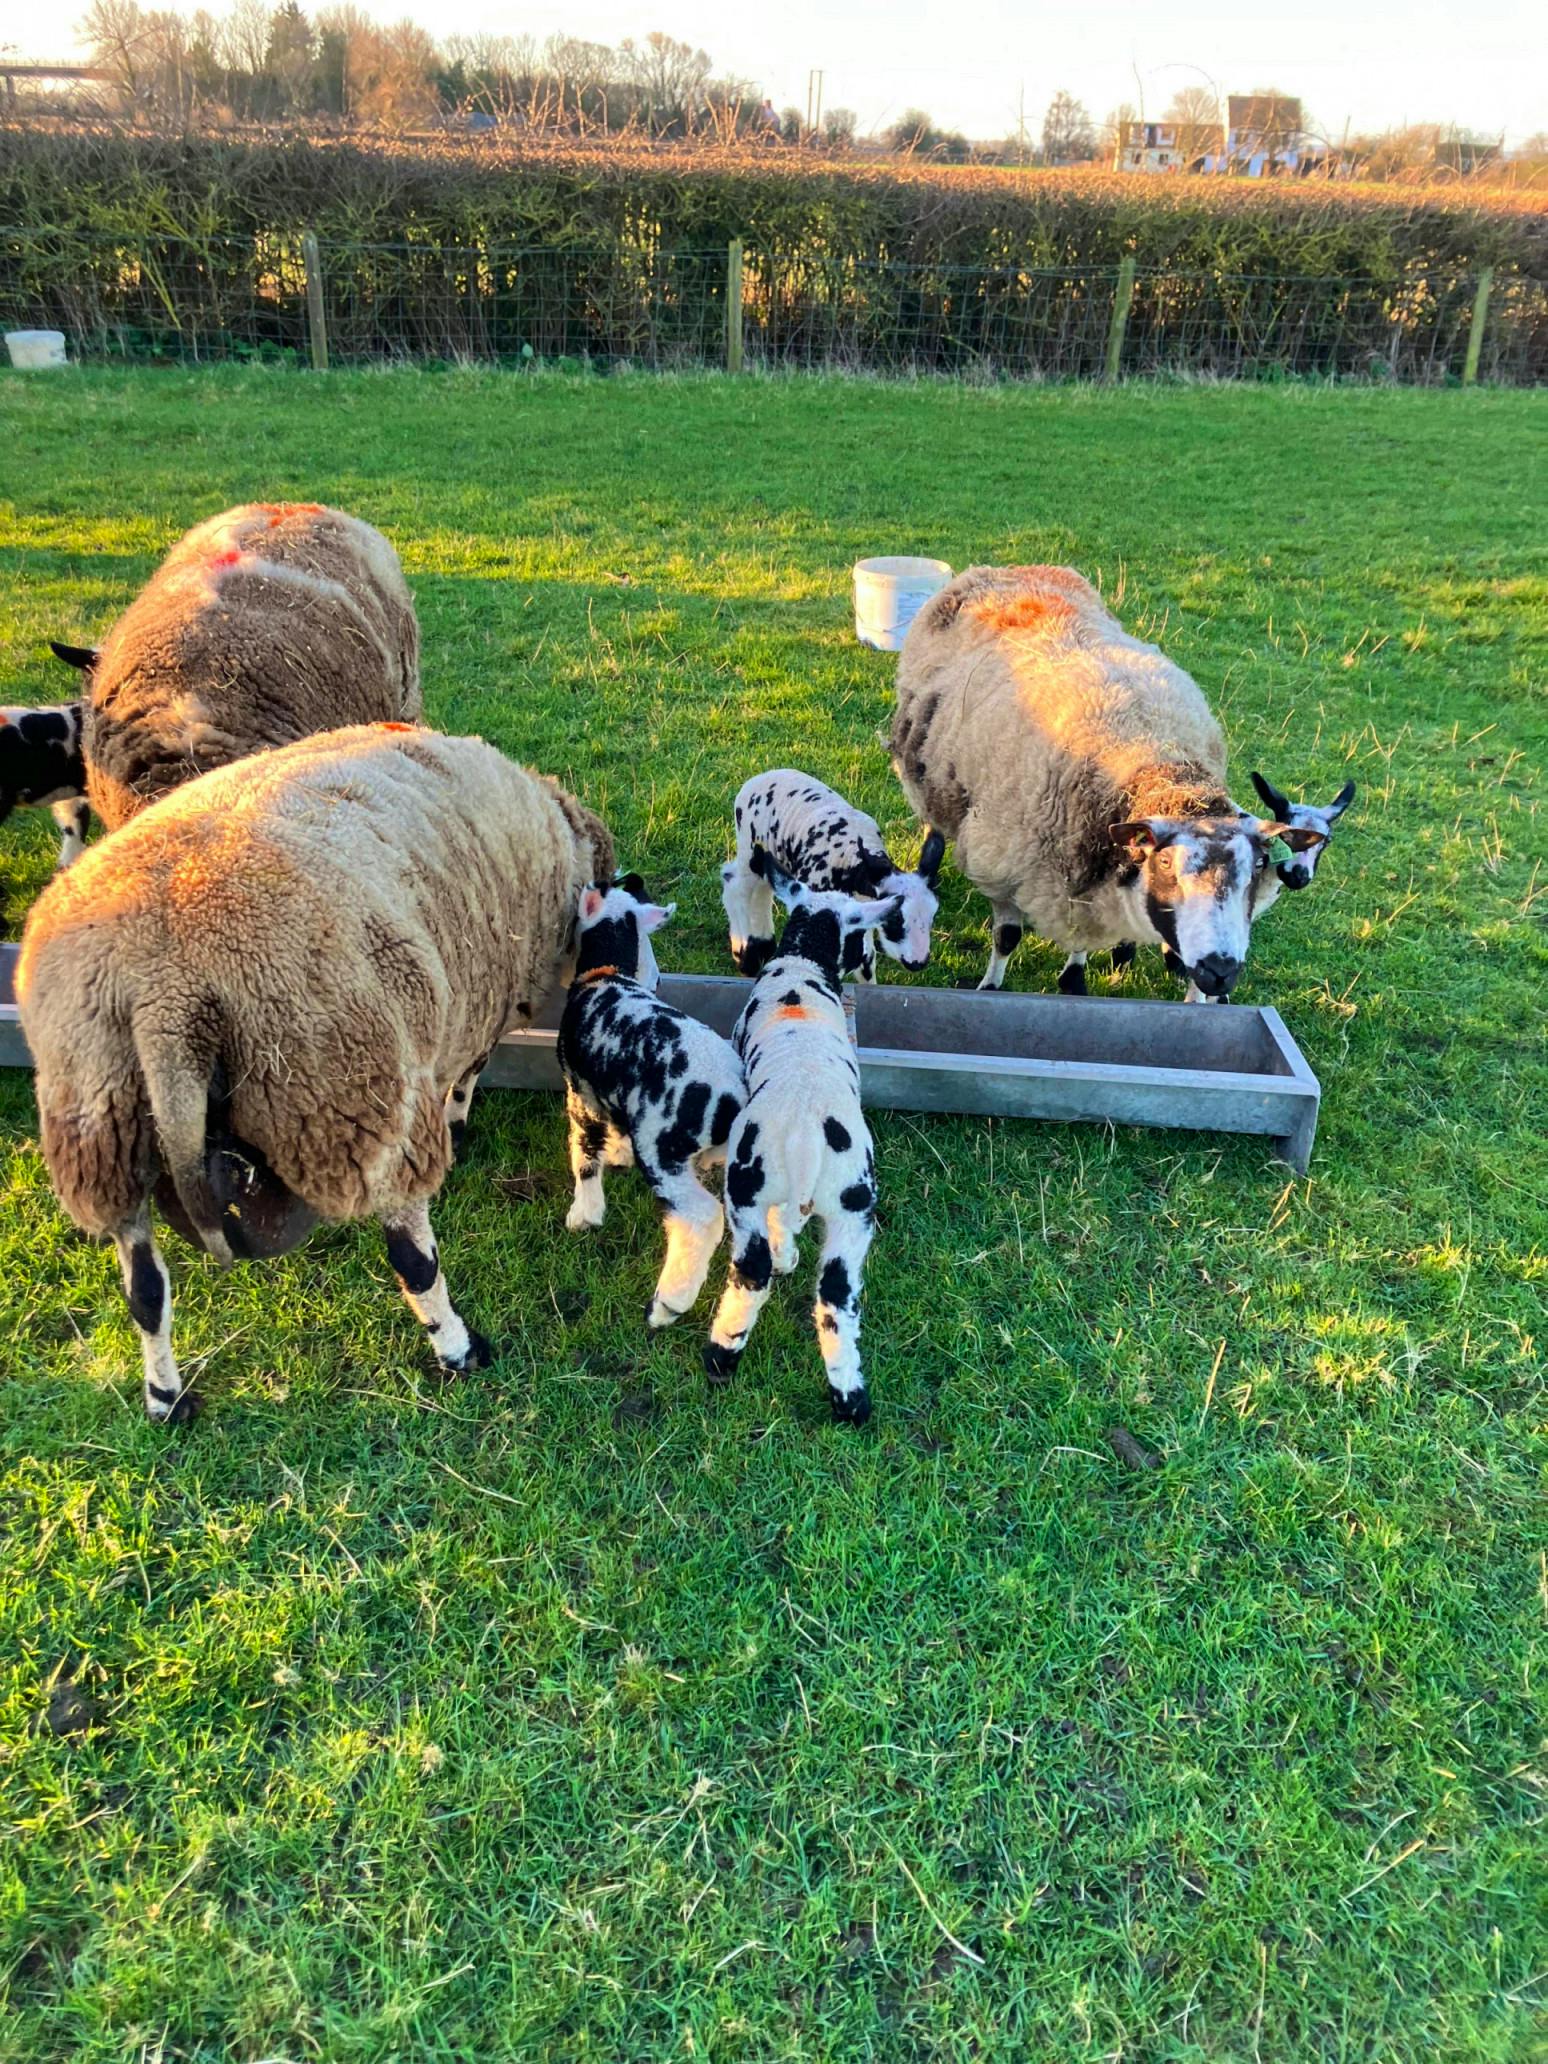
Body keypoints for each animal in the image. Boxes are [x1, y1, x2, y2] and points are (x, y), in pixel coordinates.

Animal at [16, 722, 613, 1422]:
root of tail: (164, 997)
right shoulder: (481, 998)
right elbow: (469, 1072)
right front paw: (459, 1124)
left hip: (100, 1128)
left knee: (143, 1287)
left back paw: (166, 1398)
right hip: (350, 1101)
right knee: (412, 1259)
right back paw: (458, 1349)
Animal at [556, 877, 747, 1328]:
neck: (607, 975)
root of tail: (730, 1098)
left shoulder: (581, 1091)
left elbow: (584, 1152)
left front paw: (584, 1212)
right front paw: (618, 1154)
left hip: (663, 1149)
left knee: (702, 1217)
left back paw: (668, 1303)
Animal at [704, 854, 903, 1426]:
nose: (869, 968)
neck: (803, 965)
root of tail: (807, 1139)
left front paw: (786, 1252)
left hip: (746, 1188)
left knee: (752, 1273)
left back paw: (721, 1354)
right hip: (854, 1213)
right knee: (837, 1299)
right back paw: (850, 1398)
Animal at [721, 768, 943, 981]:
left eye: (933, 915)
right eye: (896, 919)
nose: (918, 963)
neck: (852, 866)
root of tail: (760, 777)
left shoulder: (863, 911)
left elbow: (866, 958)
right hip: (749, 845)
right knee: (737, 887)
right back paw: (745, 954)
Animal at [890, 565, 1321, 1003]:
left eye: (1259, 866)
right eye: (1165, 863)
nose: (1219, 971)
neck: (1148, 760)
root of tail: (1012, 569)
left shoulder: (1082, 873)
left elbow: (1084, 934)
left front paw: (1079, 976)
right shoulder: (1001, 866)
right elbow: (1008, 937)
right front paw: (993, 985)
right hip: (927, 769)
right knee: (933, 820)